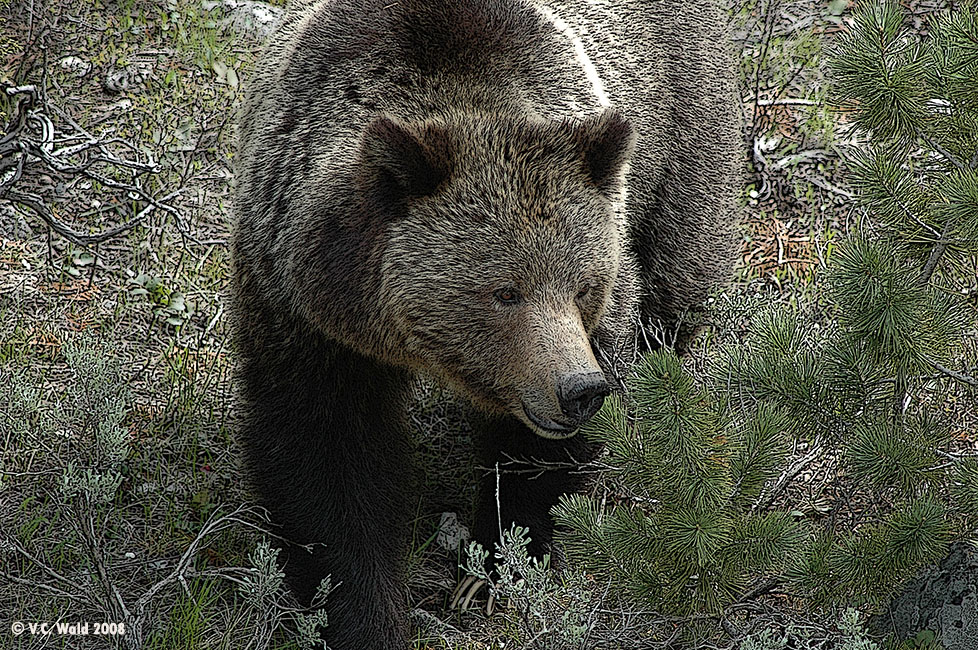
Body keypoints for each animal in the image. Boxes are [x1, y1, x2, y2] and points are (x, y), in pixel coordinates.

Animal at [231, 0, 741, 647]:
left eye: (582, 285)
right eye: (504, 291)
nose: (580, 390)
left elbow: (533, 456)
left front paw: (494, 563)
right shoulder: (301, 312)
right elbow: (327, 458)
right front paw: (363, 613)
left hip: (681, 139)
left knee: (677, 279)